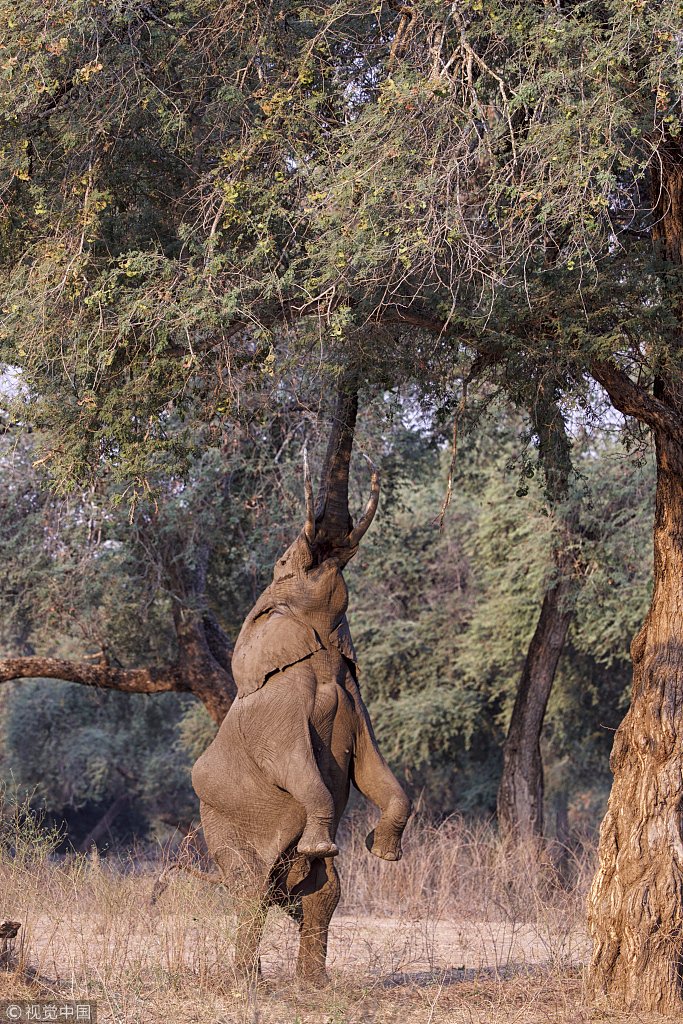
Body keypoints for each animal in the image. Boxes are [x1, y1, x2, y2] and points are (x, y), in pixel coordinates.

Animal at [191, 447, 412, 987]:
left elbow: (373, 771)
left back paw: (313, 983)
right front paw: (323, 845)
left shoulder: (356, 699)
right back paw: (246, 981)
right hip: (222, 825)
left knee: (322, 895)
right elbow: (293, 765)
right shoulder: (277, 709)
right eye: (284, 563)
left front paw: (383, 851)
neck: (321, 659)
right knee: (250, 890)